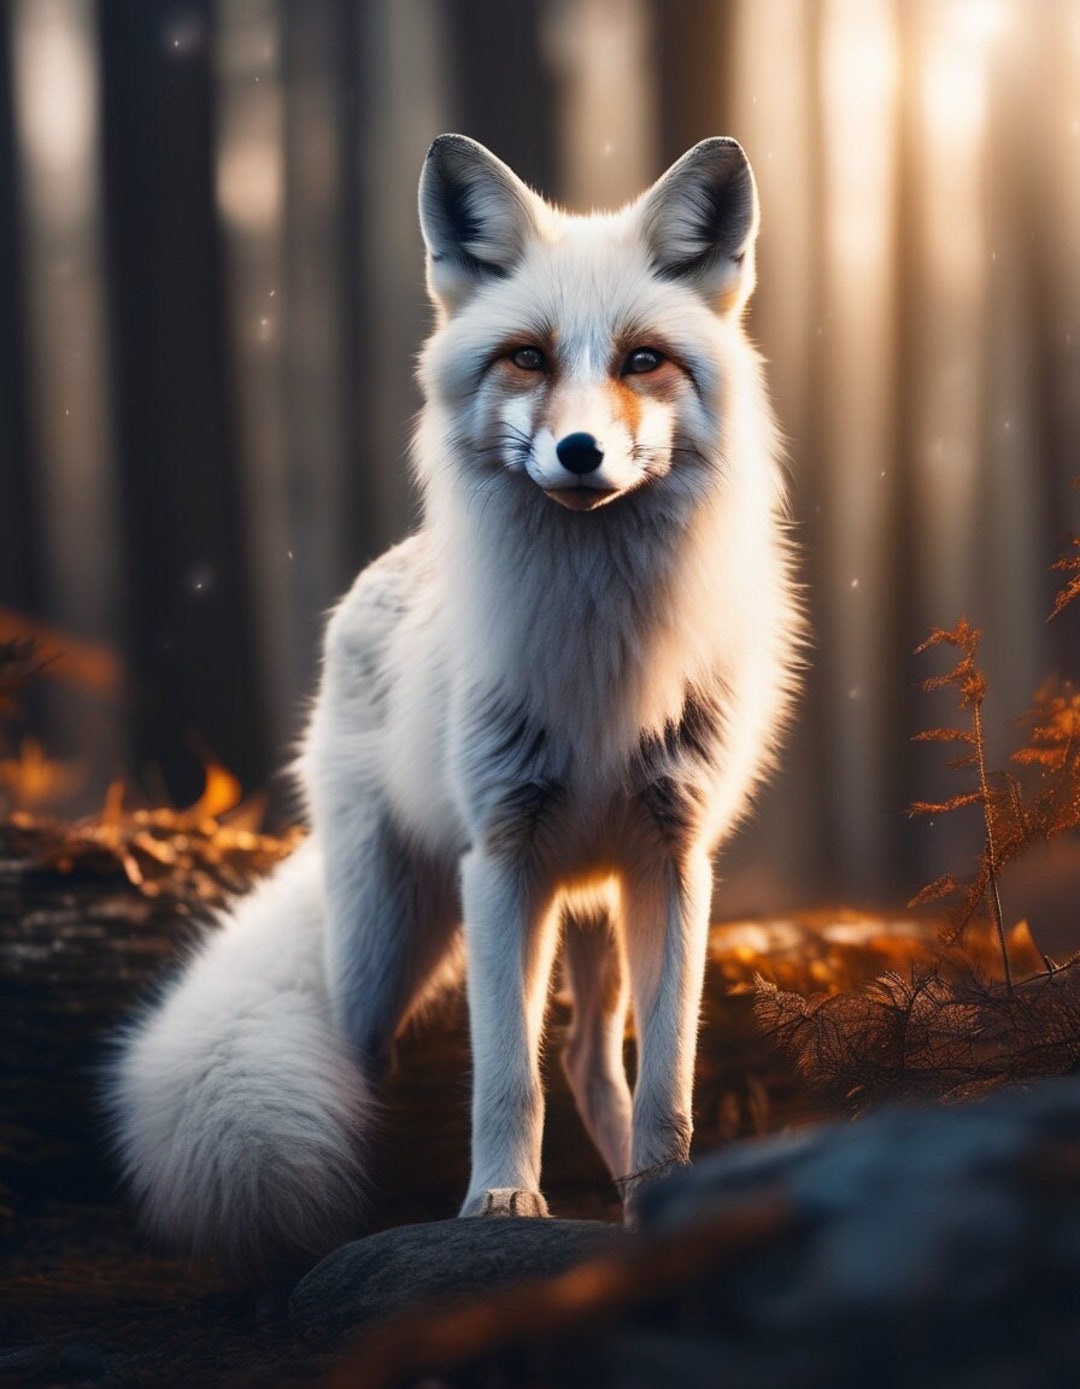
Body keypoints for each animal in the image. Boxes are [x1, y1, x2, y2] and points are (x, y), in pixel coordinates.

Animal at [108, 133, 802, 1281]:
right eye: (526, 357)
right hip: (390, 937)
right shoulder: (502, 858)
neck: (599, 642)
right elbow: (504, 1072)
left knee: (588, 1055)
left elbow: (665, 1081)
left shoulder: (673, 857)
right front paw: (499, 1205)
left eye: (642, 361)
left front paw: (663, 1199)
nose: (580, 453)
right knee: (372, 1058)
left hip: (596, 902)